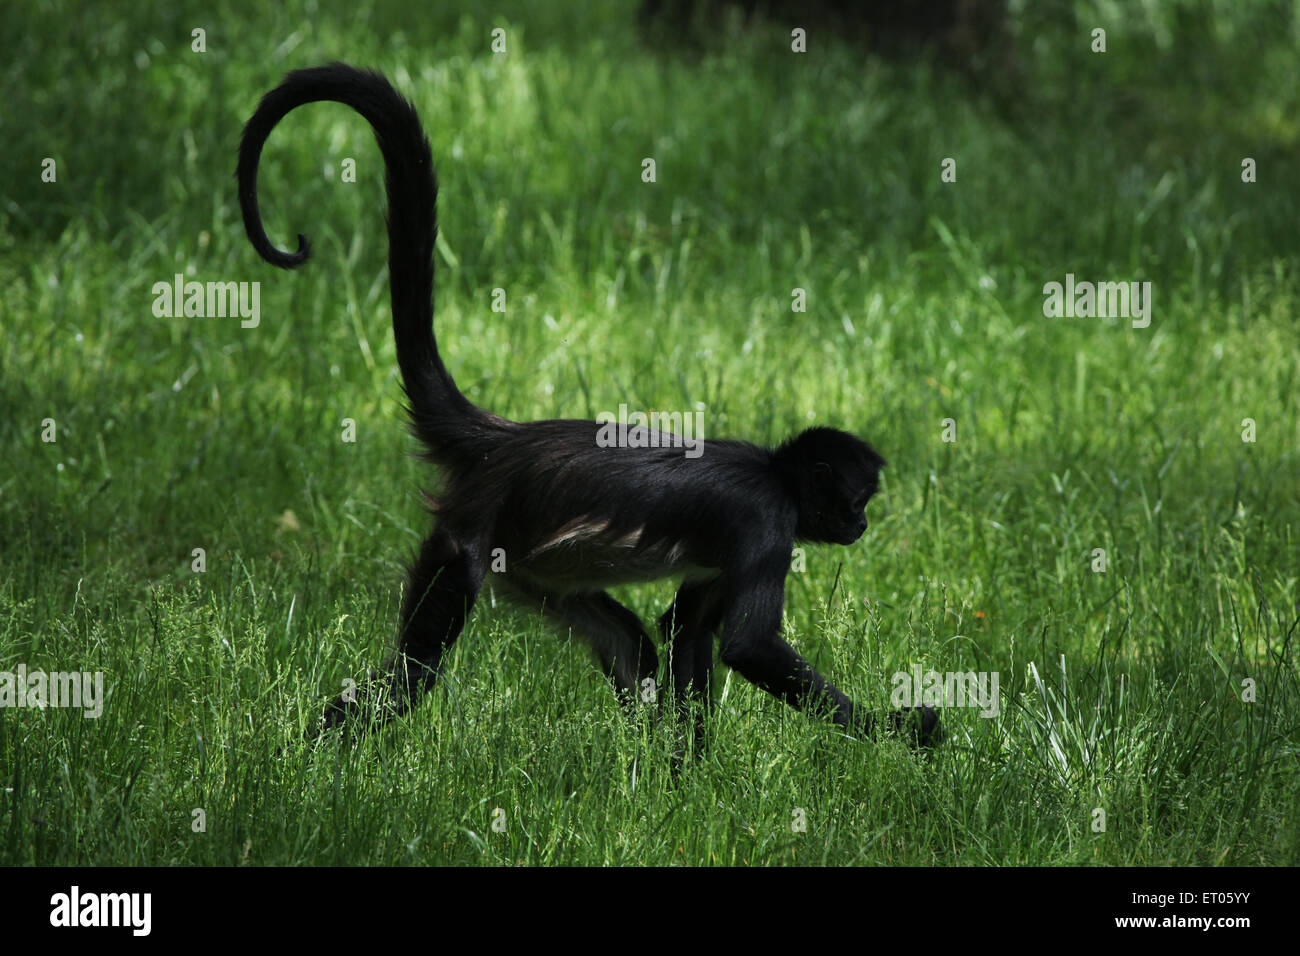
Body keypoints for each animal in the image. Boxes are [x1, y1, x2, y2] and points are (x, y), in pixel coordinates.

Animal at [236, 63, 941, 753]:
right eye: (857, 500)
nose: (861, 526)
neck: (775, 473)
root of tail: (505, 438)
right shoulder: (766, 520)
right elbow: (747, 647)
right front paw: (900, 730)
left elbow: (683, 628)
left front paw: (687, 774)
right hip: (463, 542)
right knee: (416, 672)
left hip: (528, 569)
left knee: (631, 645)